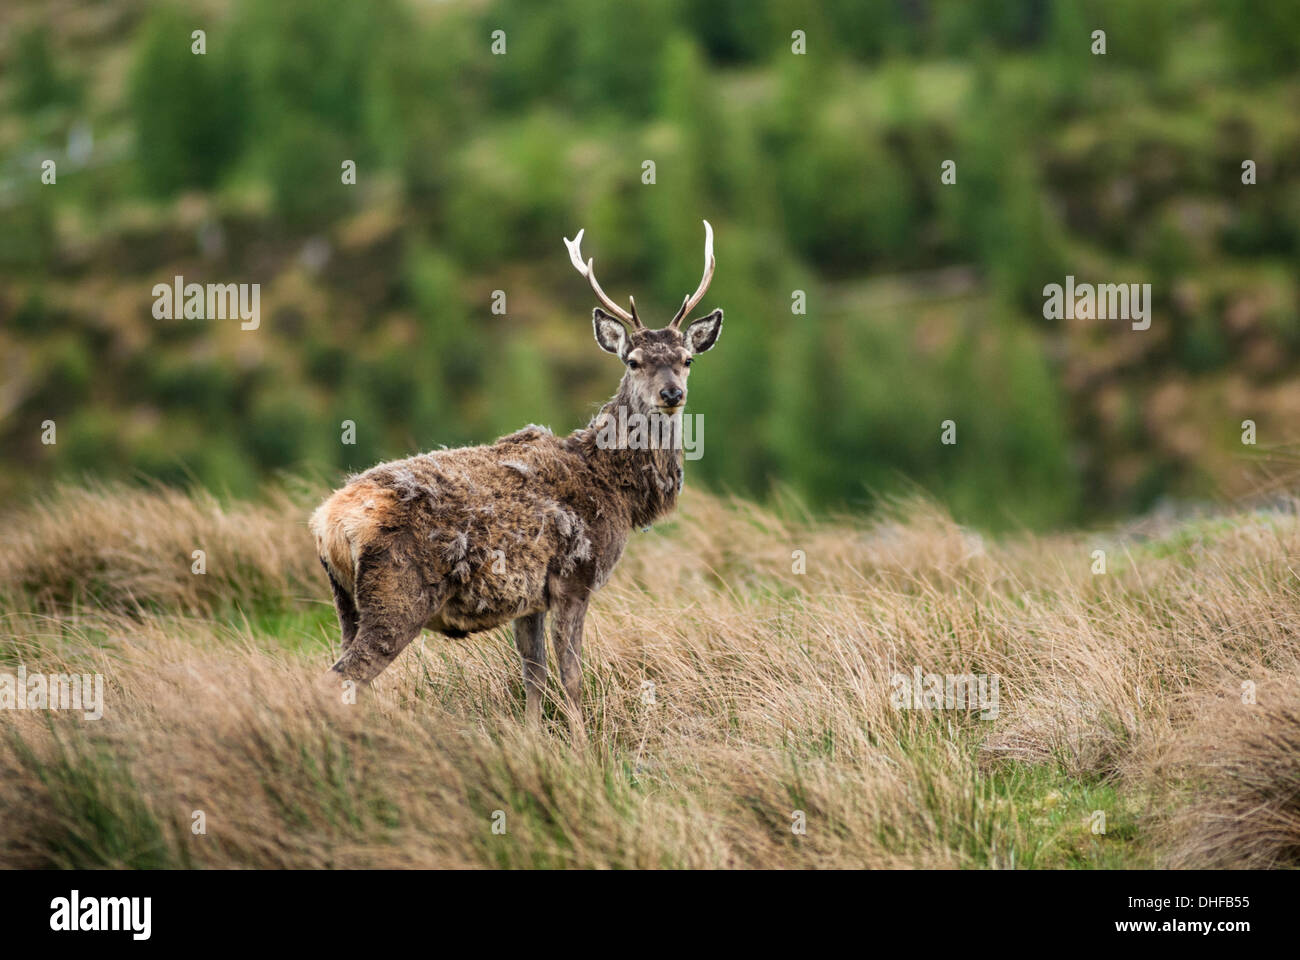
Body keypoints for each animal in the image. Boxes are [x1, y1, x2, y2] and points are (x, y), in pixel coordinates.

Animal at [309, 221, 722, 734]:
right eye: (633, 360)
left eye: (687, 358)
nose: (671, 393)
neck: (617, 492)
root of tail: (327, 523)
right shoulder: (575, 577)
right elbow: (571, 679)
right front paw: (583, 747)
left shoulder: (531, 600)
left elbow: (534, 678)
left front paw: (530, 742)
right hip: (396, 598)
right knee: (336, 681)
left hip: (345, 604)